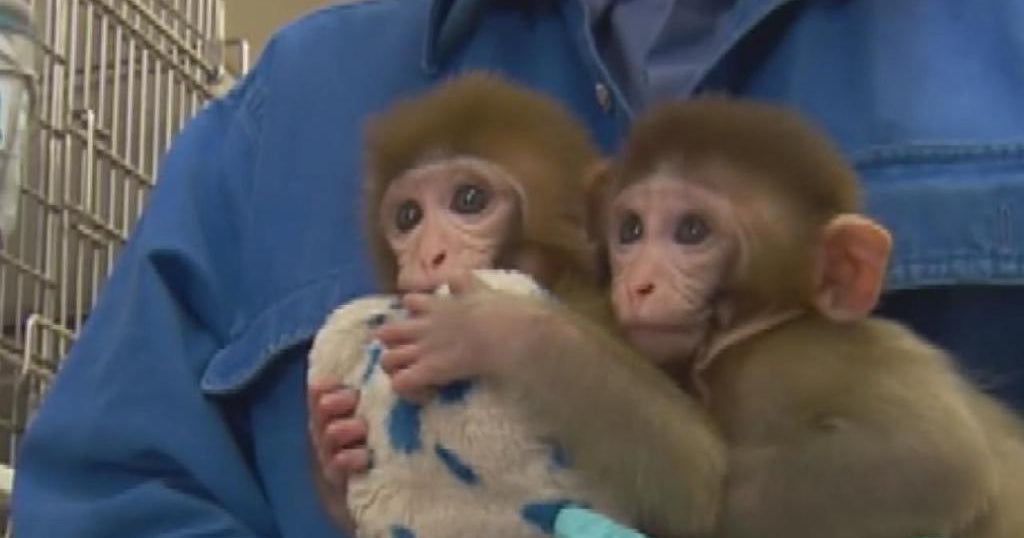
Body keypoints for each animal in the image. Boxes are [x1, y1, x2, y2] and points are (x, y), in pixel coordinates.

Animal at [308, 72, 726, 537]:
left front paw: (493, 328)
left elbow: (701, 483)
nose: (431, 254)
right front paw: (329, 441)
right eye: (408, 217)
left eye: (469, 199)